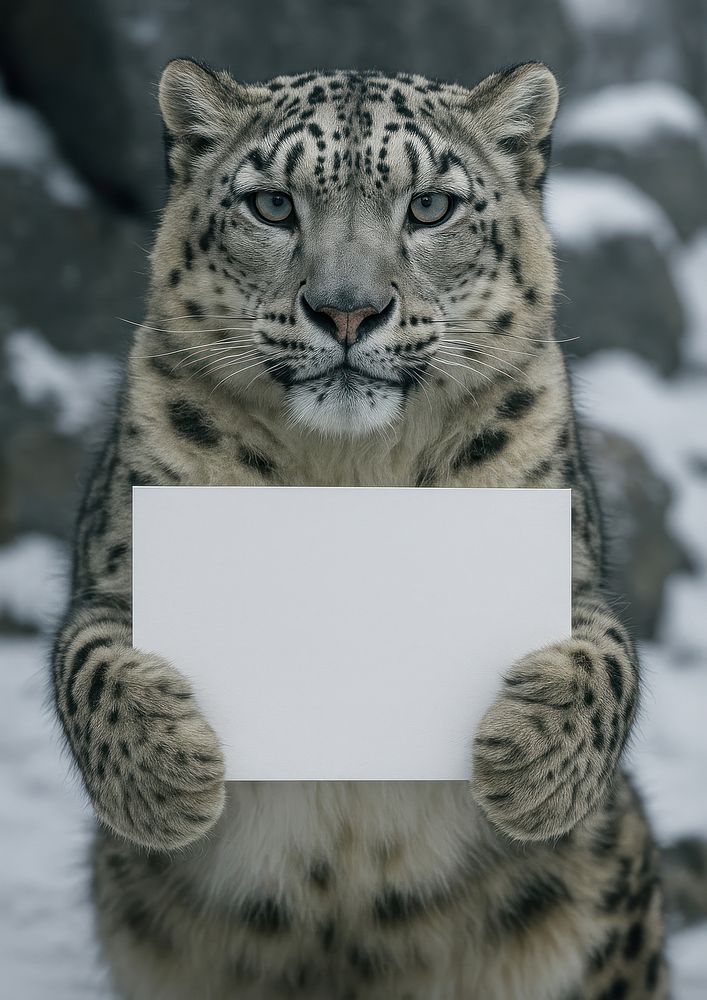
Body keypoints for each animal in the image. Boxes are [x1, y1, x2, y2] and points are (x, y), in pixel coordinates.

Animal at [51, 59, 668, 999]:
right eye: (272, 205)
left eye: (430, 206)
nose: (347, 311)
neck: (350, 466)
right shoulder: (119, 564)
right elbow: (87, 661)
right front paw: (167, 776)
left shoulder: (560, 562)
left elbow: (607, 652)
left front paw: (530, 767)